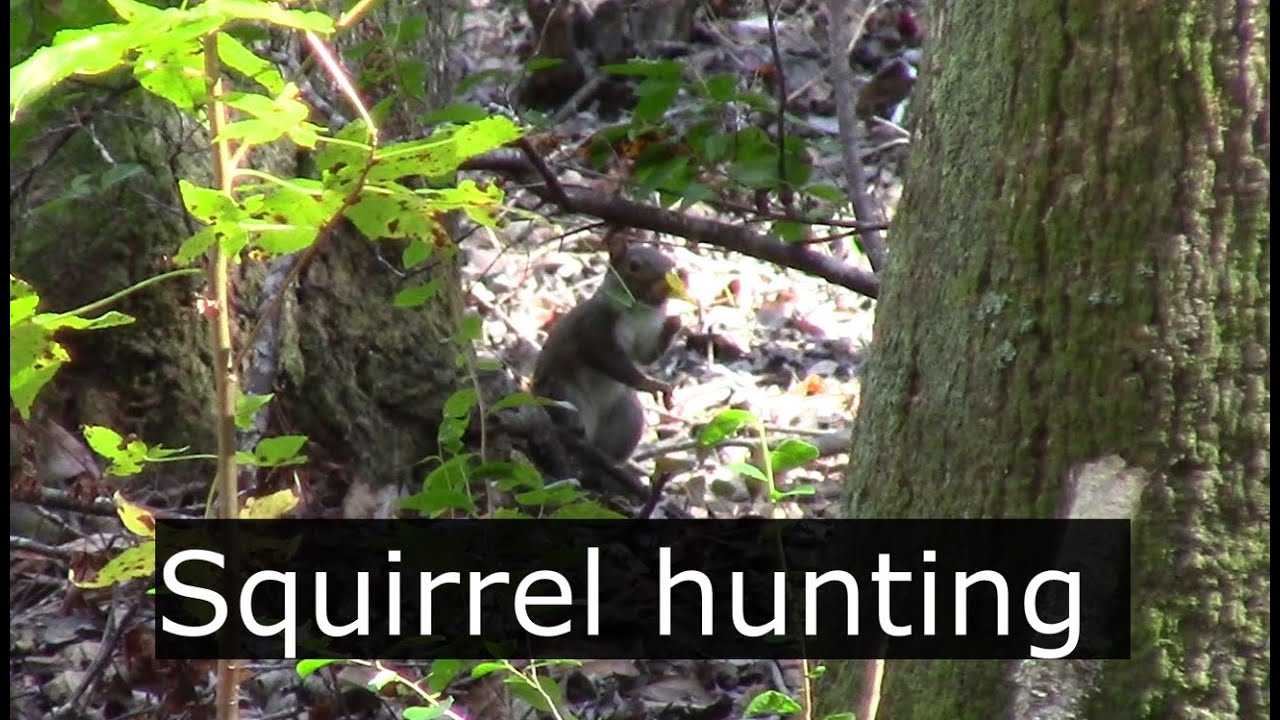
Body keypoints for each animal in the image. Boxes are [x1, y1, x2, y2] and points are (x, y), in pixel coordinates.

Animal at [532, 231, 690, 463]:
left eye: (672, 264)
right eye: (634, 266)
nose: (666, 284)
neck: (639, 313)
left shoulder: (647, 333)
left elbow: (645, 355)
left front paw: (674, 323)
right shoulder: (596, 324)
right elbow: (602, 355)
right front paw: (649, 383)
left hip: (628, 415)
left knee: (611, 446)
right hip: (562, 395)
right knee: (568, 415)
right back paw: (575, 437)